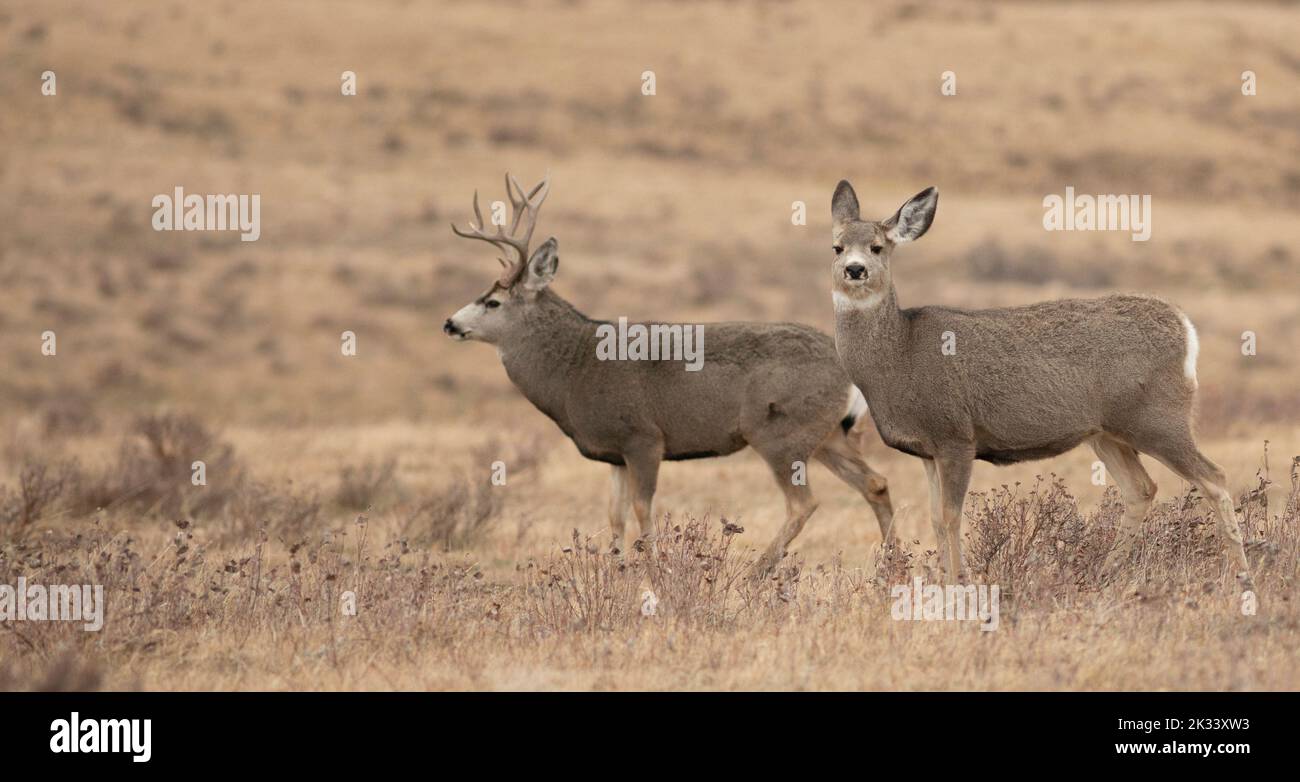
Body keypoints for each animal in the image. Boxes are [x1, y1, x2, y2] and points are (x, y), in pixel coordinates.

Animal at [441, 173, 894, 574]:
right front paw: (616, 570)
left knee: (804, 503)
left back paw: (757, 572)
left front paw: (654, 567)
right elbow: (615, 514)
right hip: (828, 433)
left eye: (493, 302)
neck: (575, 369)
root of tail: (848, 365)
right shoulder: (614, 451)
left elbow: (643, 509)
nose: (449, 323)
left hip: (780, 432)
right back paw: (891, 565)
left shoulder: (644, 436)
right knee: (876, 483)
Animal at [826, 179, 1253, 590]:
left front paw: (959, 585)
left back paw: (1241, 576)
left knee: (1214, 477)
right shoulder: (928, 451)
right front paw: (945, 583)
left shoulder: (956, 436)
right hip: (1107, 432)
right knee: (1141, 488)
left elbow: (950, 516)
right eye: (837, 247)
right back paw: (1102, 575)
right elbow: (935, 518)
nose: (854, 269)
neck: (901, 356)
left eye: (878, 247)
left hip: (1158, 418)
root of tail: (1186, 328)